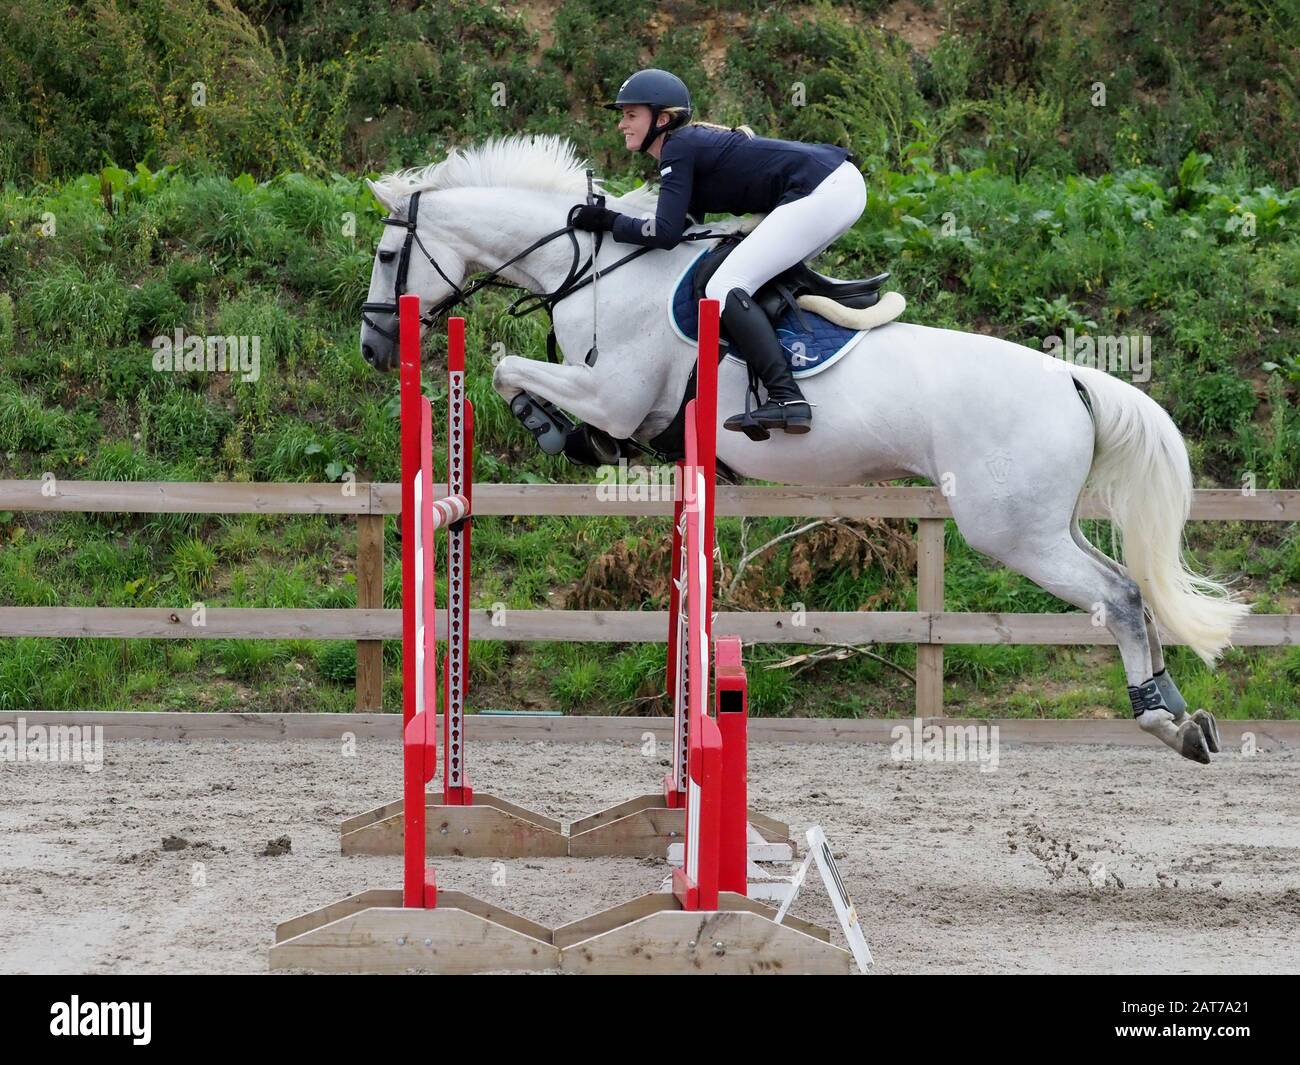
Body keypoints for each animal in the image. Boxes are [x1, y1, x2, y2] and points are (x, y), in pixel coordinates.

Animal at [359, 133, 1250, 764]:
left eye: (385, 254)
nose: (372, 347)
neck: (594, 267)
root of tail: (1070, 375)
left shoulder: (615, 392)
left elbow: (510, 368)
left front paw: (556, 429)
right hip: (1039, 522)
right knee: (1126, 590)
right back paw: (1179, 716)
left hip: (1010, 530)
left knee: (1120, 596)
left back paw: (1163, 719)